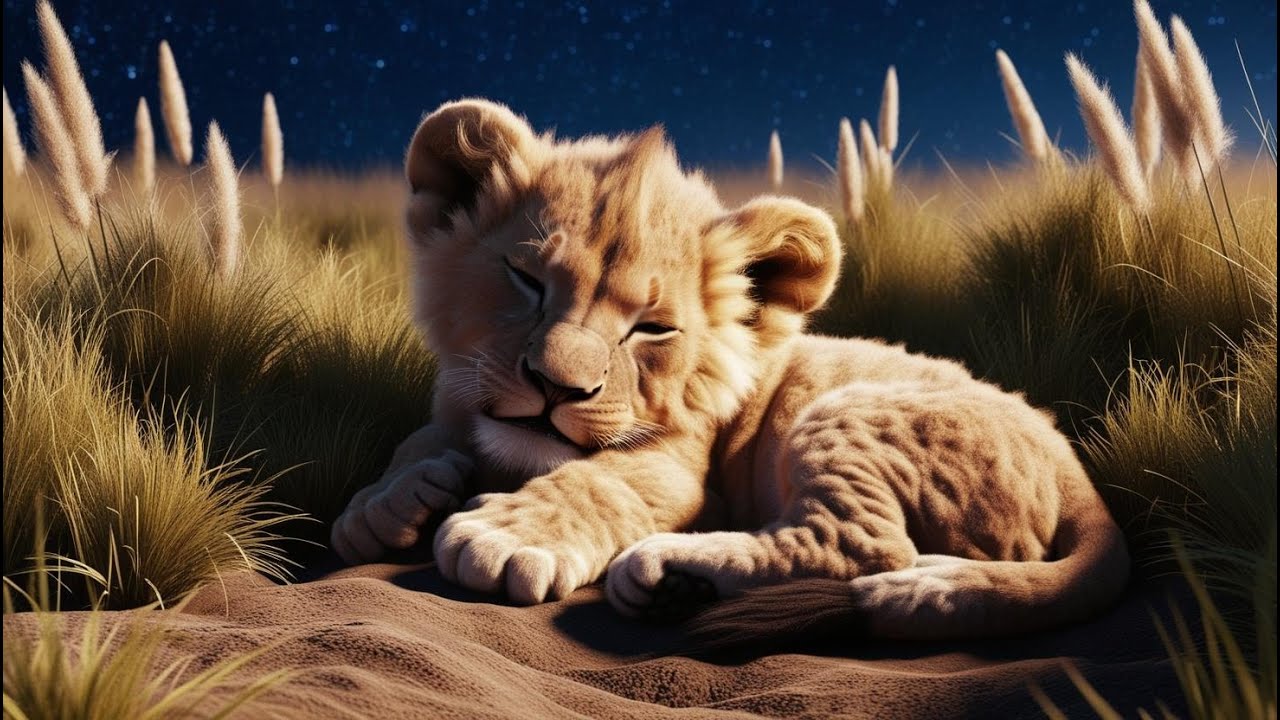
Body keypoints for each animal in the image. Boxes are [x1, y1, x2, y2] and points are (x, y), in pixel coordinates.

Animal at [331, 99, 1130, 640]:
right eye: (526, 281)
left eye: (652, 329)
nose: (558, 387)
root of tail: (1079, 476)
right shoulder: (460, 400)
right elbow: (419, 442)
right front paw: (385, 504)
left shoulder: (682, 467)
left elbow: (597, 481)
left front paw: (505, 537)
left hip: (846, 415)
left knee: (860, 546)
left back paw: (669, 564)